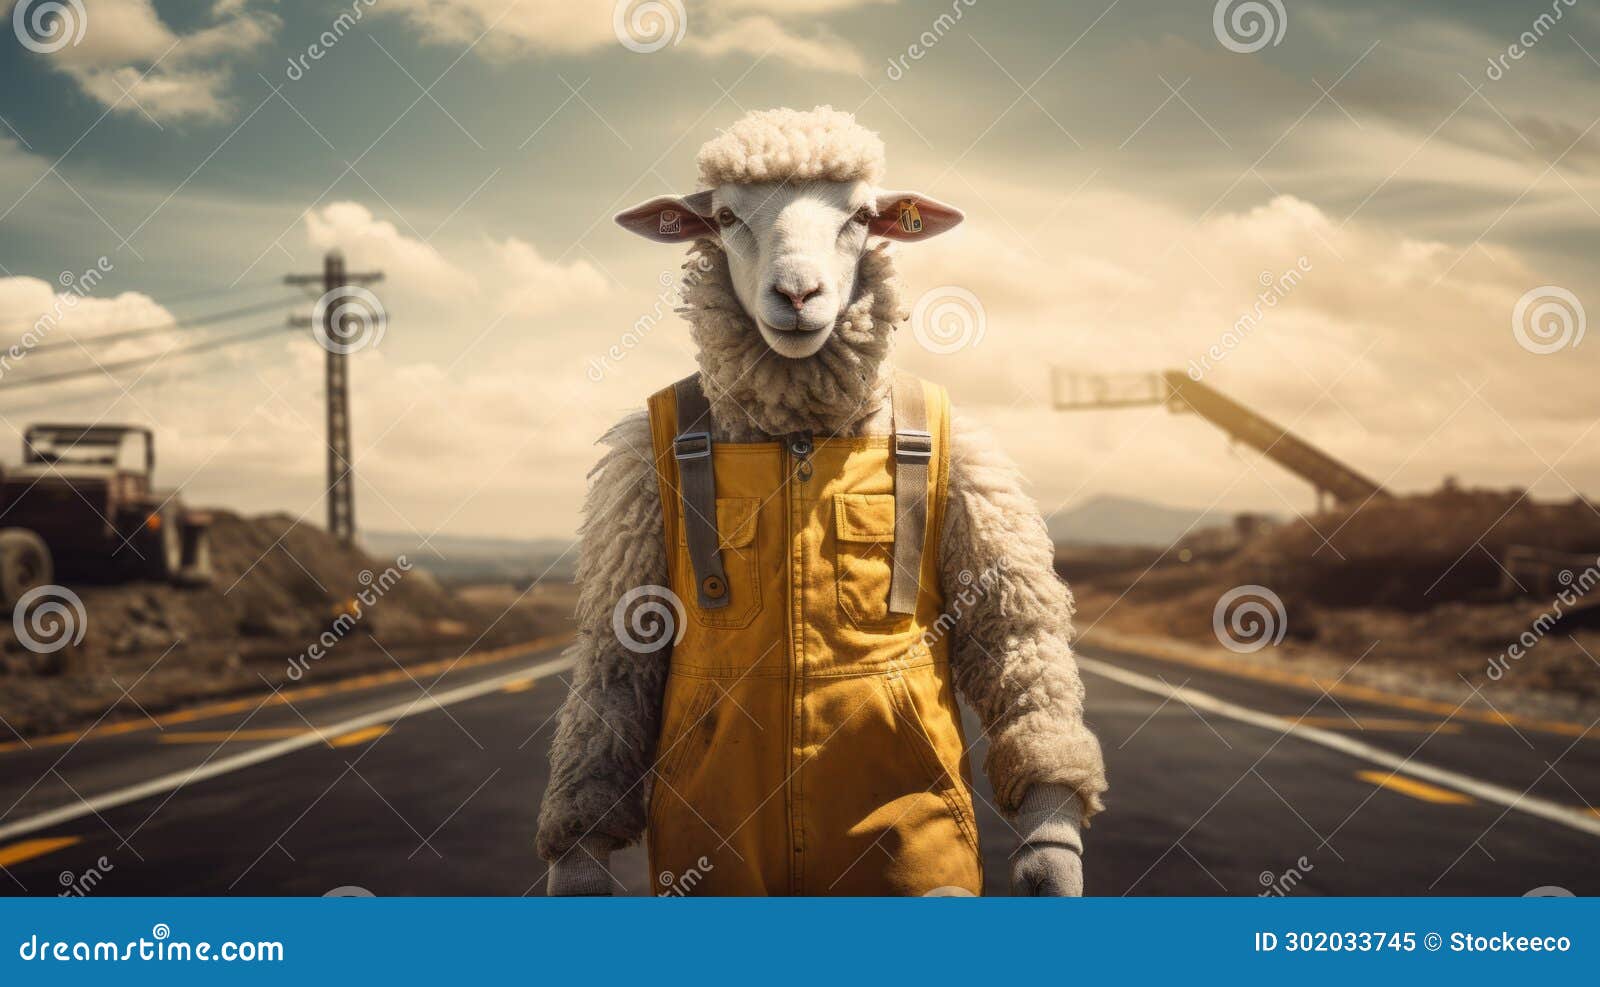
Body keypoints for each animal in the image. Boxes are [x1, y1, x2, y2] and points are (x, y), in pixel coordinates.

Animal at [535, 105, 1106, 896]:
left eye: (861, 216)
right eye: (725, 217)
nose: (799, 295)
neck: (798, 433)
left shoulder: (976, 477)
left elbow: (1012, 632)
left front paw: (1051, 852)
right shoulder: (630, 490)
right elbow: (616, 656)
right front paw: (581, 864)